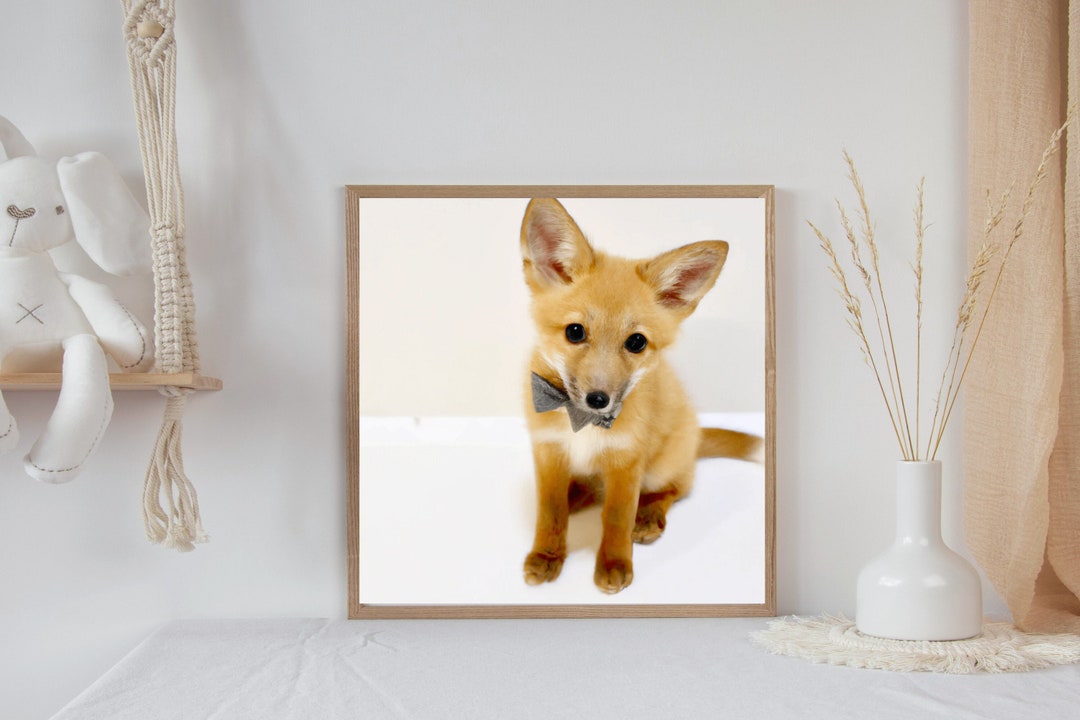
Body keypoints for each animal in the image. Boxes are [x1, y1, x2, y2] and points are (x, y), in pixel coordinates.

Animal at [519, 198, 762, 594]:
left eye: (636, 342)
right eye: (575, 332)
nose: (598, 399)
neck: (582, 425)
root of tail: (695, 437)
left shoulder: (627, 460)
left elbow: (617, 517)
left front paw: (615, 564)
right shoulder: (548, 450)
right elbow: (550, 512)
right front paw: (547, 554)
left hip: (661, 468)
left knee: (676, 488)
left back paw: (648, 517)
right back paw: (579, 495)